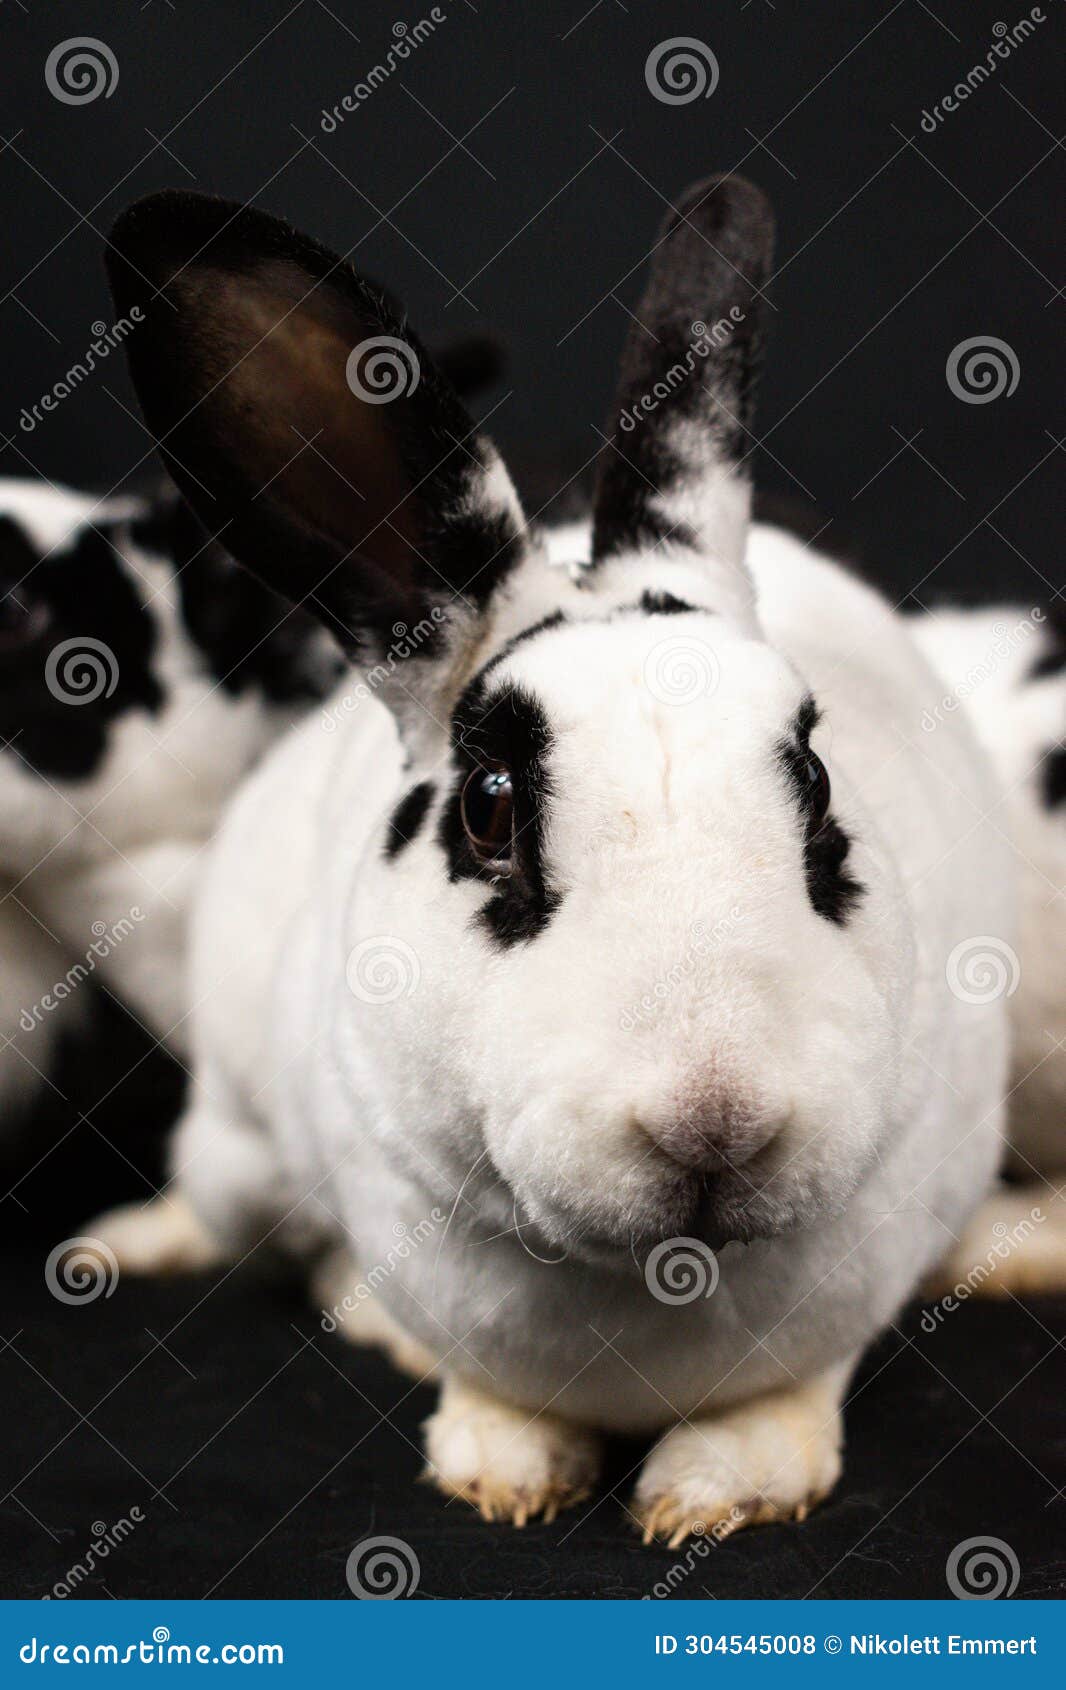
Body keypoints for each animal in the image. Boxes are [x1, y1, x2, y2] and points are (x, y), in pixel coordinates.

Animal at [85, 172, 1054, 1543]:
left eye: (815, 787)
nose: (714, 1117)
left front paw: (718, 1489)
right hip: (233, 1128)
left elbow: (797, 1384)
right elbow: (482, 1381)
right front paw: (501, 1467)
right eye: (489, 810)